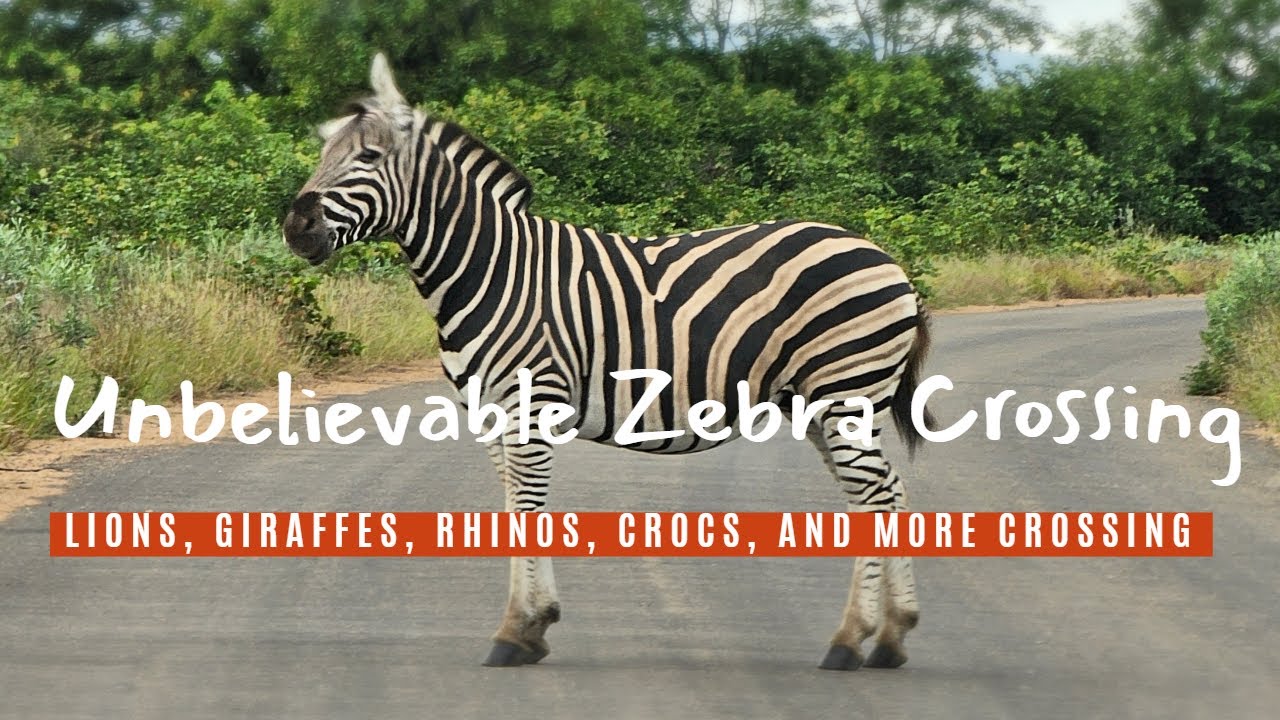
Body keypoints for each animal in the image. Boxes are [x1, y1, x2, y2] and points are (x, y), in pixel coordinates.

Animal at [284, 54, 936, 671]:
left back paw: (850, 642)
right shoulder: (489, 413)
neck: (490, 270)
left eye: (368, 156)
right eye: (323, 150)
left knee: (874, 498)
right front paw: (536, 624)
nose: (296, 226)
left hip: (845, 391)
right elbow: (513, 510)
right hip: (824, 403)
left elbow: (527, 508)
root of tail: (886, 258)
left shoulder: (531, 402)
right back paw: (891, 637)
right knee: (886, 493)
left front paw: (515, 632)